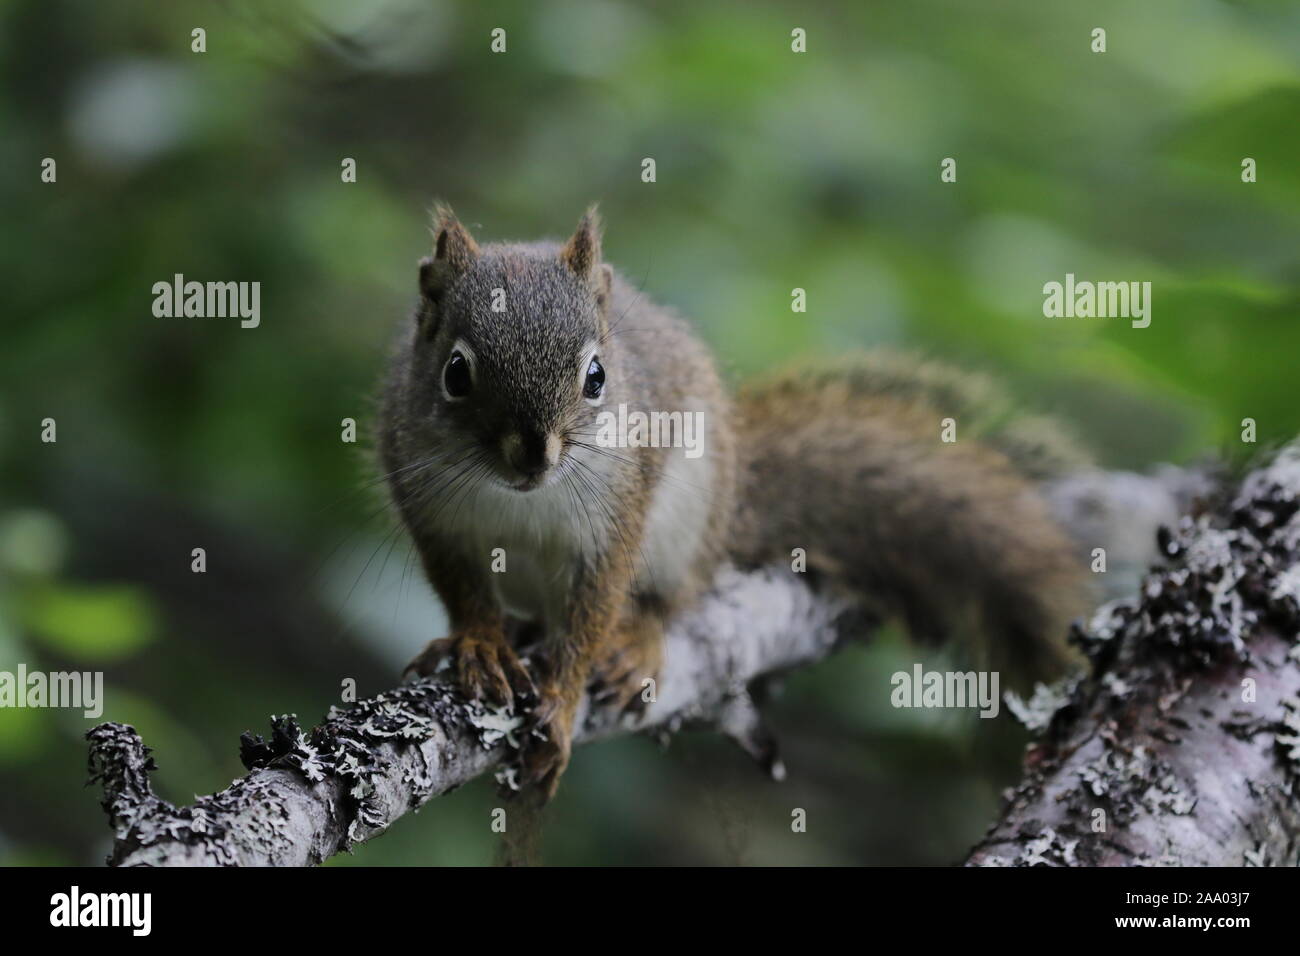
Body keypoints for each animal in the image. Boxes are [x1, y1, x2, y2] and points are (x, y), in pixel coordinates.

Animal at [378, 204, 1088, 798]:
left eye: (596, 377)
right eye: (456, 372)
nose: (533, 457)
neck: (521, 498)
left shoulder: (617, 518)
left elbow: (593, 609)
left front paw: (562, 699)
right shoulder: (431, 510)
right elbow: (463, 590)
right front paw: (477, 642)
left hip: (686, 527)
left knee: (672, 596)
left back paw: (637, 639)